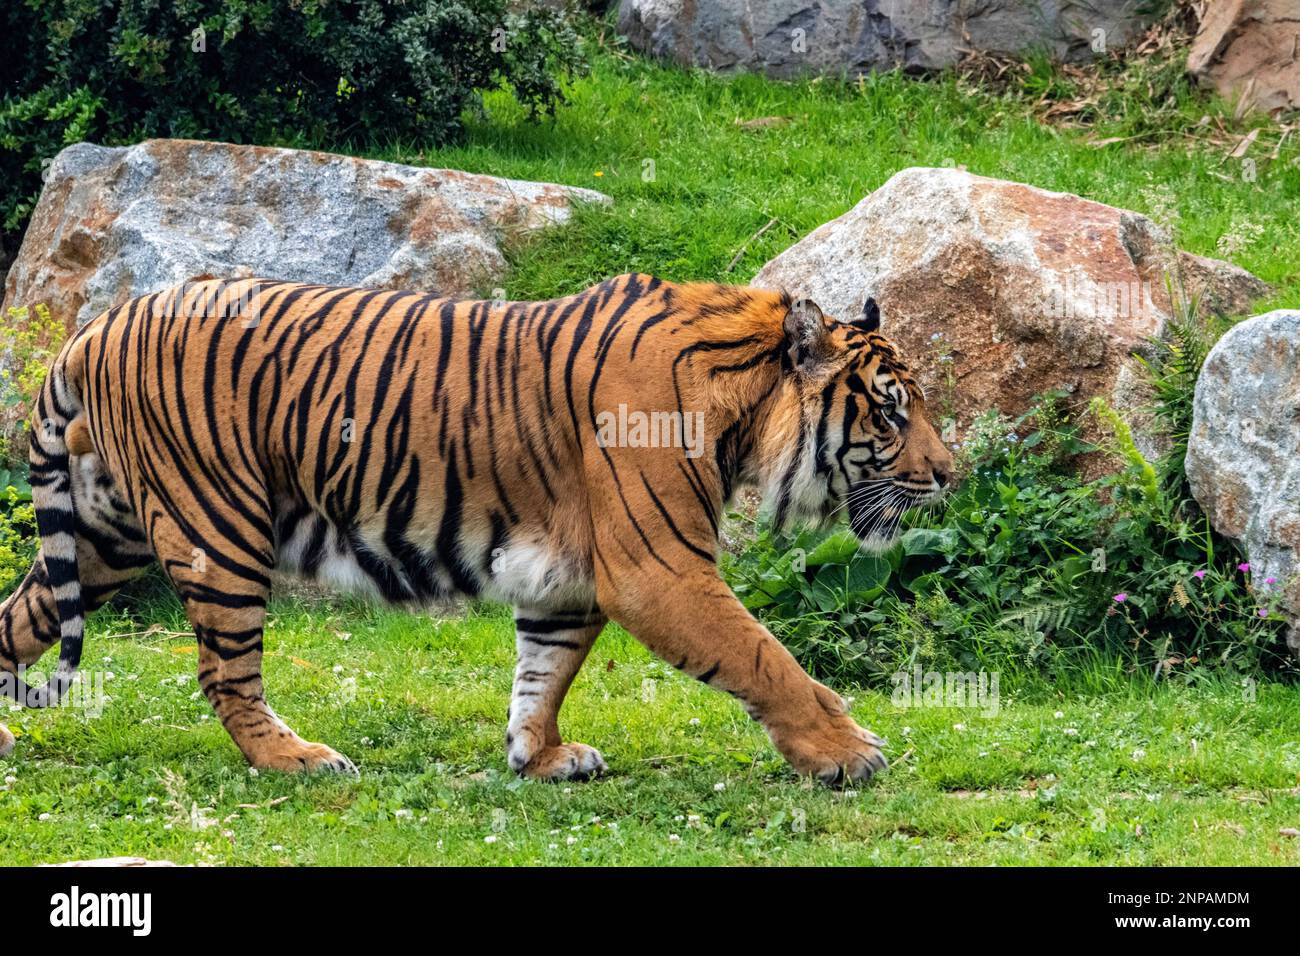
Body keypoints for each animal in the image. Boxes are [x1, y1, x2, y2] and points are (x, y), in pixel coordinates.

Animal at [0, 274, 951, 783]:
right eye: (892, 413)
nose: (950, 475)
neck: (742, 404)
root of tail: (96, 325)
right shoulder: (659, 569)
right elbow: (767, 659)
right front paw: (848, 751)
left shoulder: (569, 575)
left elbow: (544, 672)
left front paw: (539, 758)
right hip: (218, 525)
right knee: (224, 673)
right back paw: (296, 759)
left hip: (105, 532)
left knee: (20, 612)